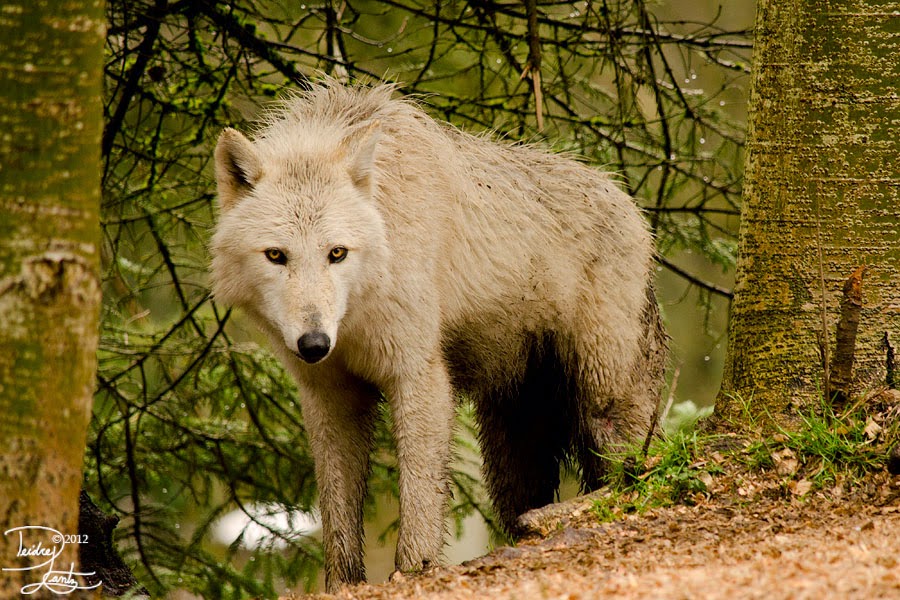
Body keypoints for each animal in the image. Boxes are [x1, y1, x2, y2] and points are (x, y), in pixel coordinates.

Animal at [210, 81, 667, 591]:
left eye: (336, 253)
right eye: (276, 255)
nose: (314, 344)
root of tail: (633, 207)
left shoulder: (419, 376)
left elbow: (421, 493)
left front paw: (414, 569)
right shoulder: (330, 396)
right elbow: (338, 512)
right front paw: (344, 585)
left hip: (603, 408)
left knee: (628, 465)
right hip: (511, 449)